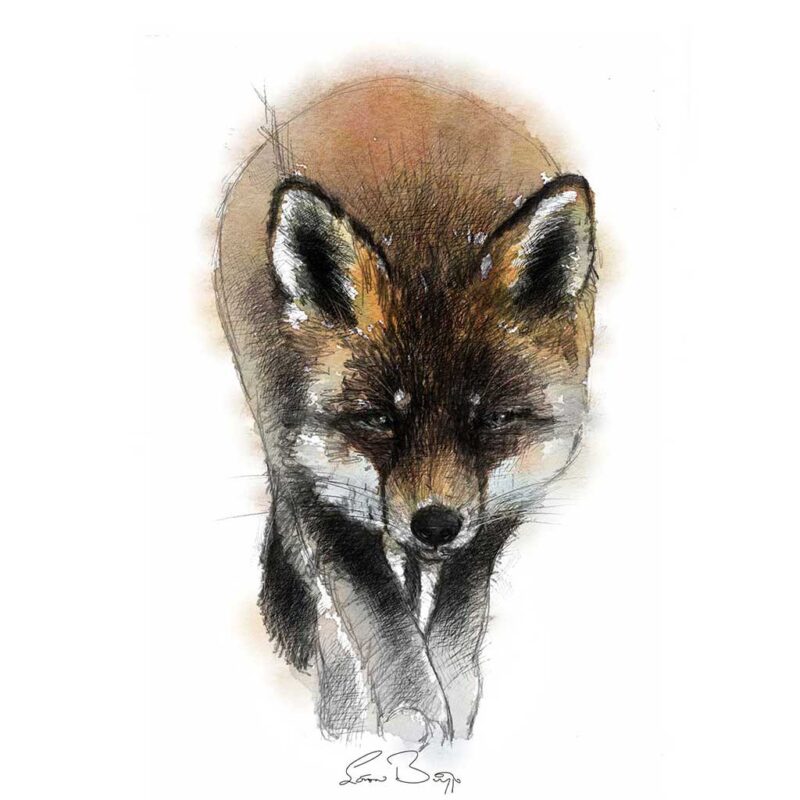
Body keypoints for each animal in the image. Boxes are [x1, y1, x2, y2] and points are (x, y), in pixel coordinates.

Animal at [214, 75, 597, 744]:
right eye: (379, 418)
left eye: (492, 419)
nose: (434, 525)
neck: (428, 235)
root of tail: (387, 79)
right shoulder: (319, 491)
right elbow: (380, 620)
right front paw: (406, 721)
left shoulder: (502, 501)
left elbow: (457, 620)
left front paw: (452, 711)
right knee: (329, 617)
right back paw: (341, 714)